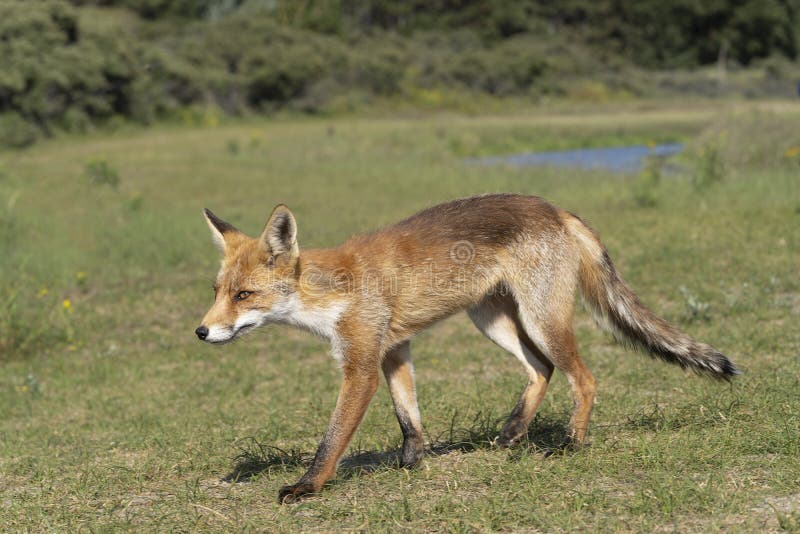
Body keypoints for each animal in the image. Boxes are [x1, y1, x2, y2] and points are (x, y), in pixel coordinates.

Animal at [196, 193, 738, 504]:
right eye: (217, 291)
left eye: (244, 295)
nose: (201, 332)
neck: (333, 290)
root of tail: (555, 207)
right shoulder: (394, 349)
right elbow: (408, 416)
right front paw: (411, 462)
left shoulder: (361, 364)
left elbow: (331, 440)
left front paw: (308, 487)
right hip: (494, 322)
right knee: (541, 370)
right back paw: (514, 433)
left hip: (541, 320)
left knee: (583, 377)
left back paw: (571, 443)